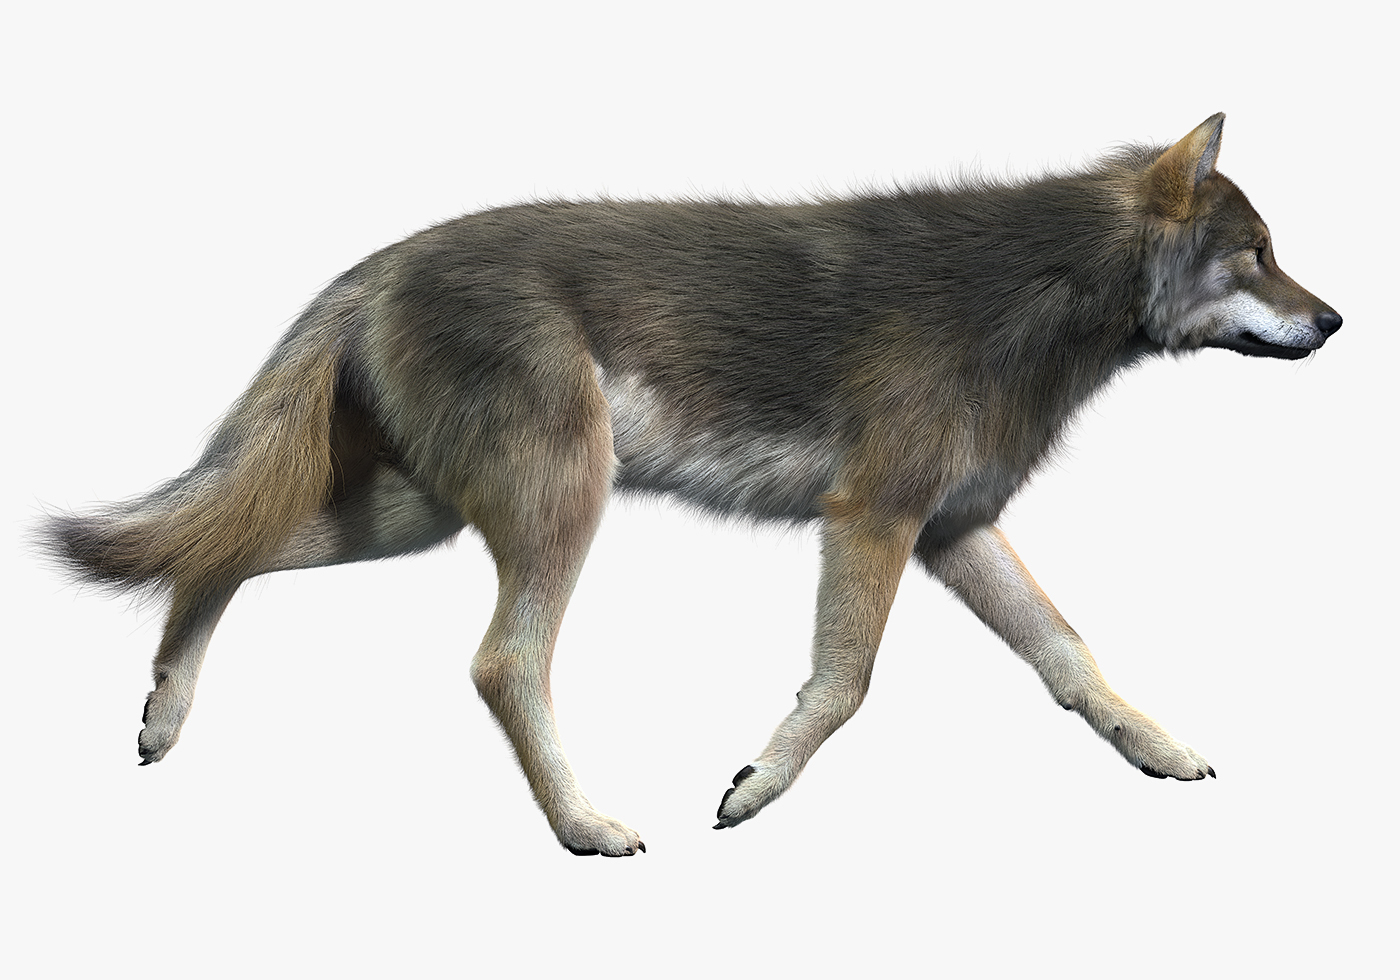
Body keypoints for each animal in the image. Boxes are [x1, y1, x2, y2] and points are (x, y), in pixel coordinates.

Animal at [41, 114, 1339, 856]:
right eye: (1258, 253)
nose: (1334, 320)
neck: (1036, 292)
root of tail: (380, 262)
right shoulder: (871, 518)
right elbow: (846, 683)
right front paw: (753, 789)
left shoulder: (950, 530)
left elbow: (1069, 658)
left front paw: (1156, 750)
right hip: (554, 506)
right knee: (499, 662)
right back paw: (583, 827)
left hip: (418, 516)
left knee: (217, 548)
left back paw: (163, 714)